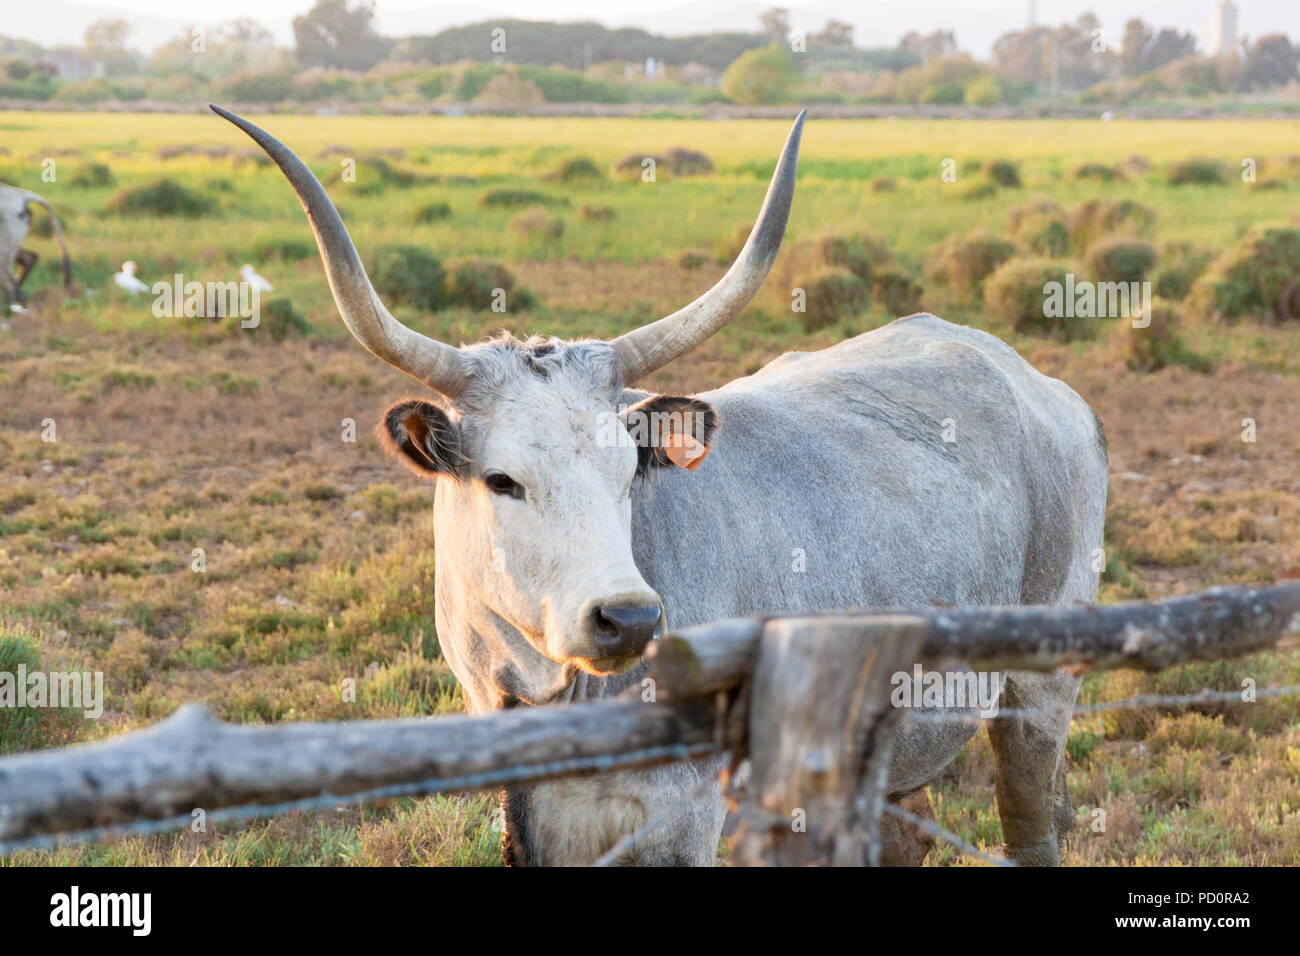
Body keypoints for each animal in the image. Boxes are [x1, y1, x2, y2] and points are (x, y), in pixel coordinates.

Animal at [213, 104, 1107, 867]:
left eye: (627, 476)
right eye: (503, 480)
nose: (630, 618)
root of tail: (1031, 378)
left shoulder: (683, 817)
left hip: (1037, 692)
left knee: (1032, 822)